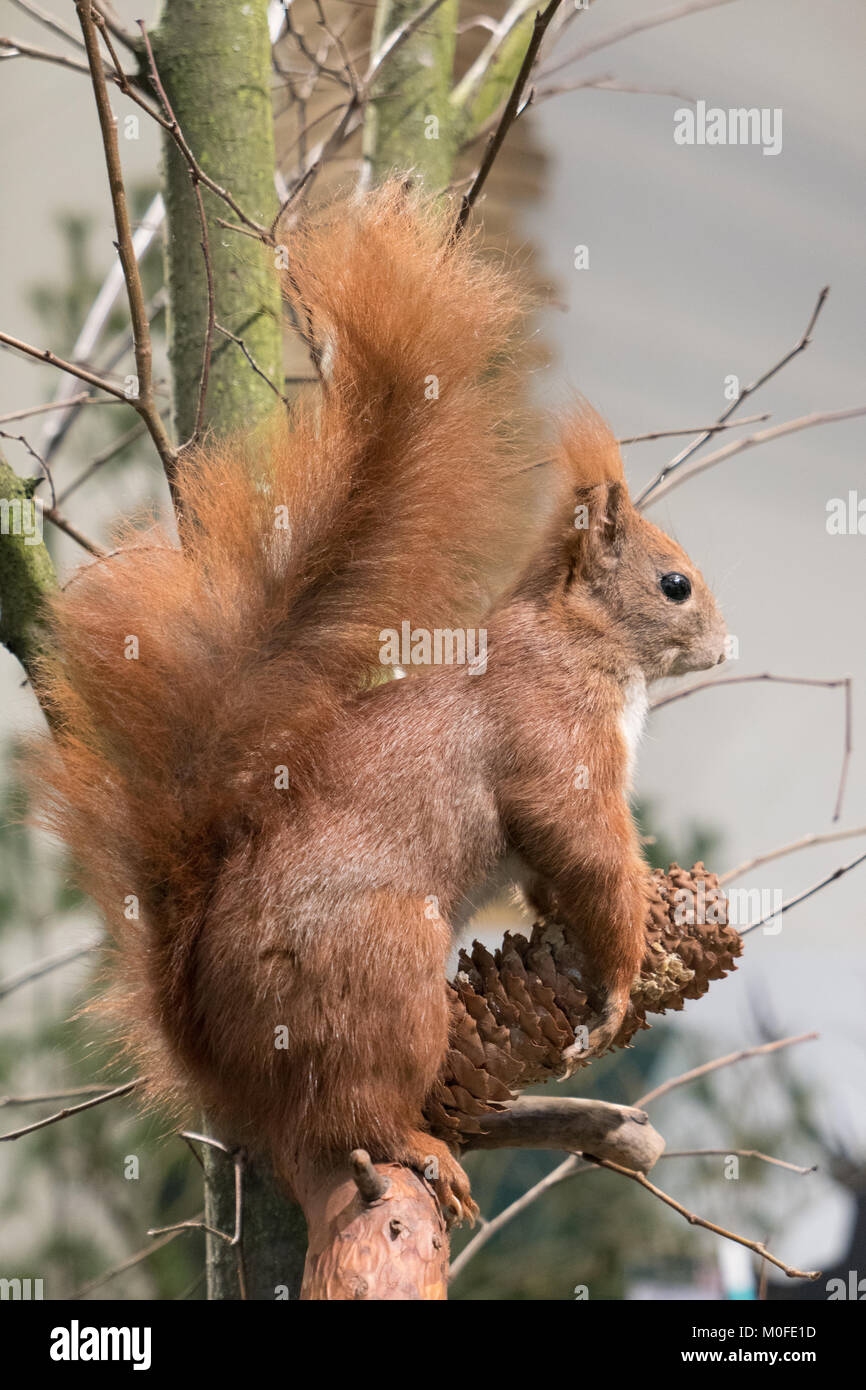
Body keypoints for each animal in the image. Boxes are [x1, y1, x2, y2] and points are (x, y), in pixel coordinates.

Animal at [31, 183, 727, 1223]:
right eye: (675, 584)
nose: (728, 646)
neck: (577, 642)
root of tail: (222, 1056)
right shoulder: (557, 746)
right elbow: (590, 851)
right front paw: (619, 973)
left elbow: (552, 873)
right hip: (382, 972)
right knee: (349, 1113)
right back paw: (417, 1146)